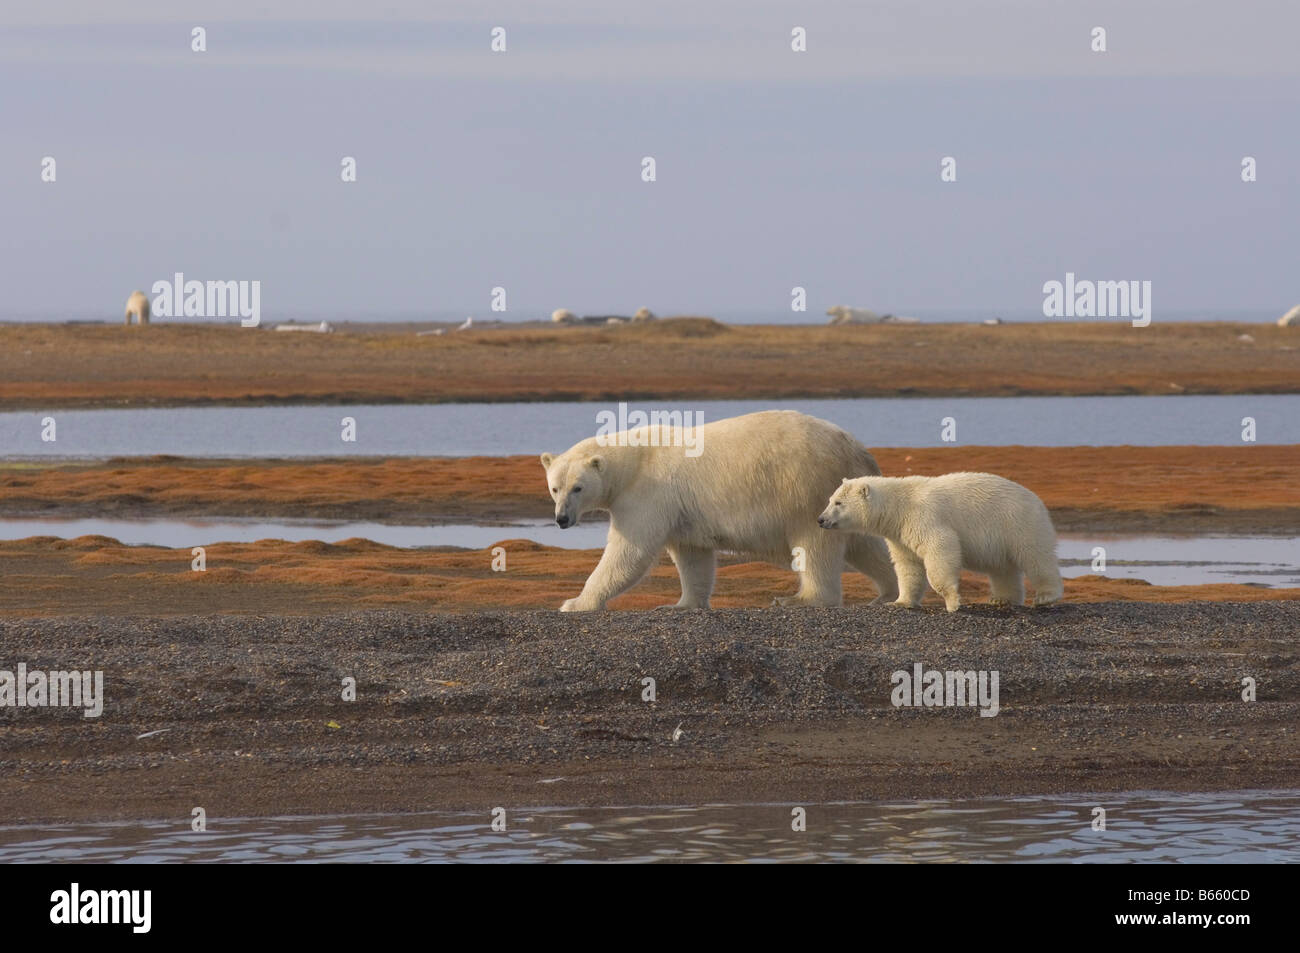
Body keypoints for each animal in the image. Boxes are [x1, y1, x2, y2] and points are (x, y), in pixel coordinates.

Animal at [539, 410, 899, 611]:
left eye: (578, 488)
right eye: (555, 487)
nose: (562, 519)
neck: (632, 461)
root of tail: (857, 448)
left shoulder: (646, 494)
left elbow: (629, 552)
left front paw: (575, 603)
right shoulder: (680, 509)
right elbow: (692, 556)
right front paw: (680, 604)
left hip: (804, 488)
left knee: (814, 545)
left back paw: (799, 599)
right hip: (839, 499)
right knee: (866, 545)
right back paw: (888, 592)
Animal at [818, 472, 1064, 612]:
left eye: (838, 503)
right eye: (830, 499)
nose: (821, 519)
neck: (899, 506)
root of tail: (1036, 499)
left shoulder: (924, 517)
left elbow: (940, 547)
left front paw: (953, 602)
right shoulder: (900, 534)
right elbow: (908, 565)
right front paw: (900, 601)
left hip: (1018, 522)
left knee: (1036, 557)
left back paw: (1045, 597)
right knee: (1002, 569)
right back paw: (1002, 599)